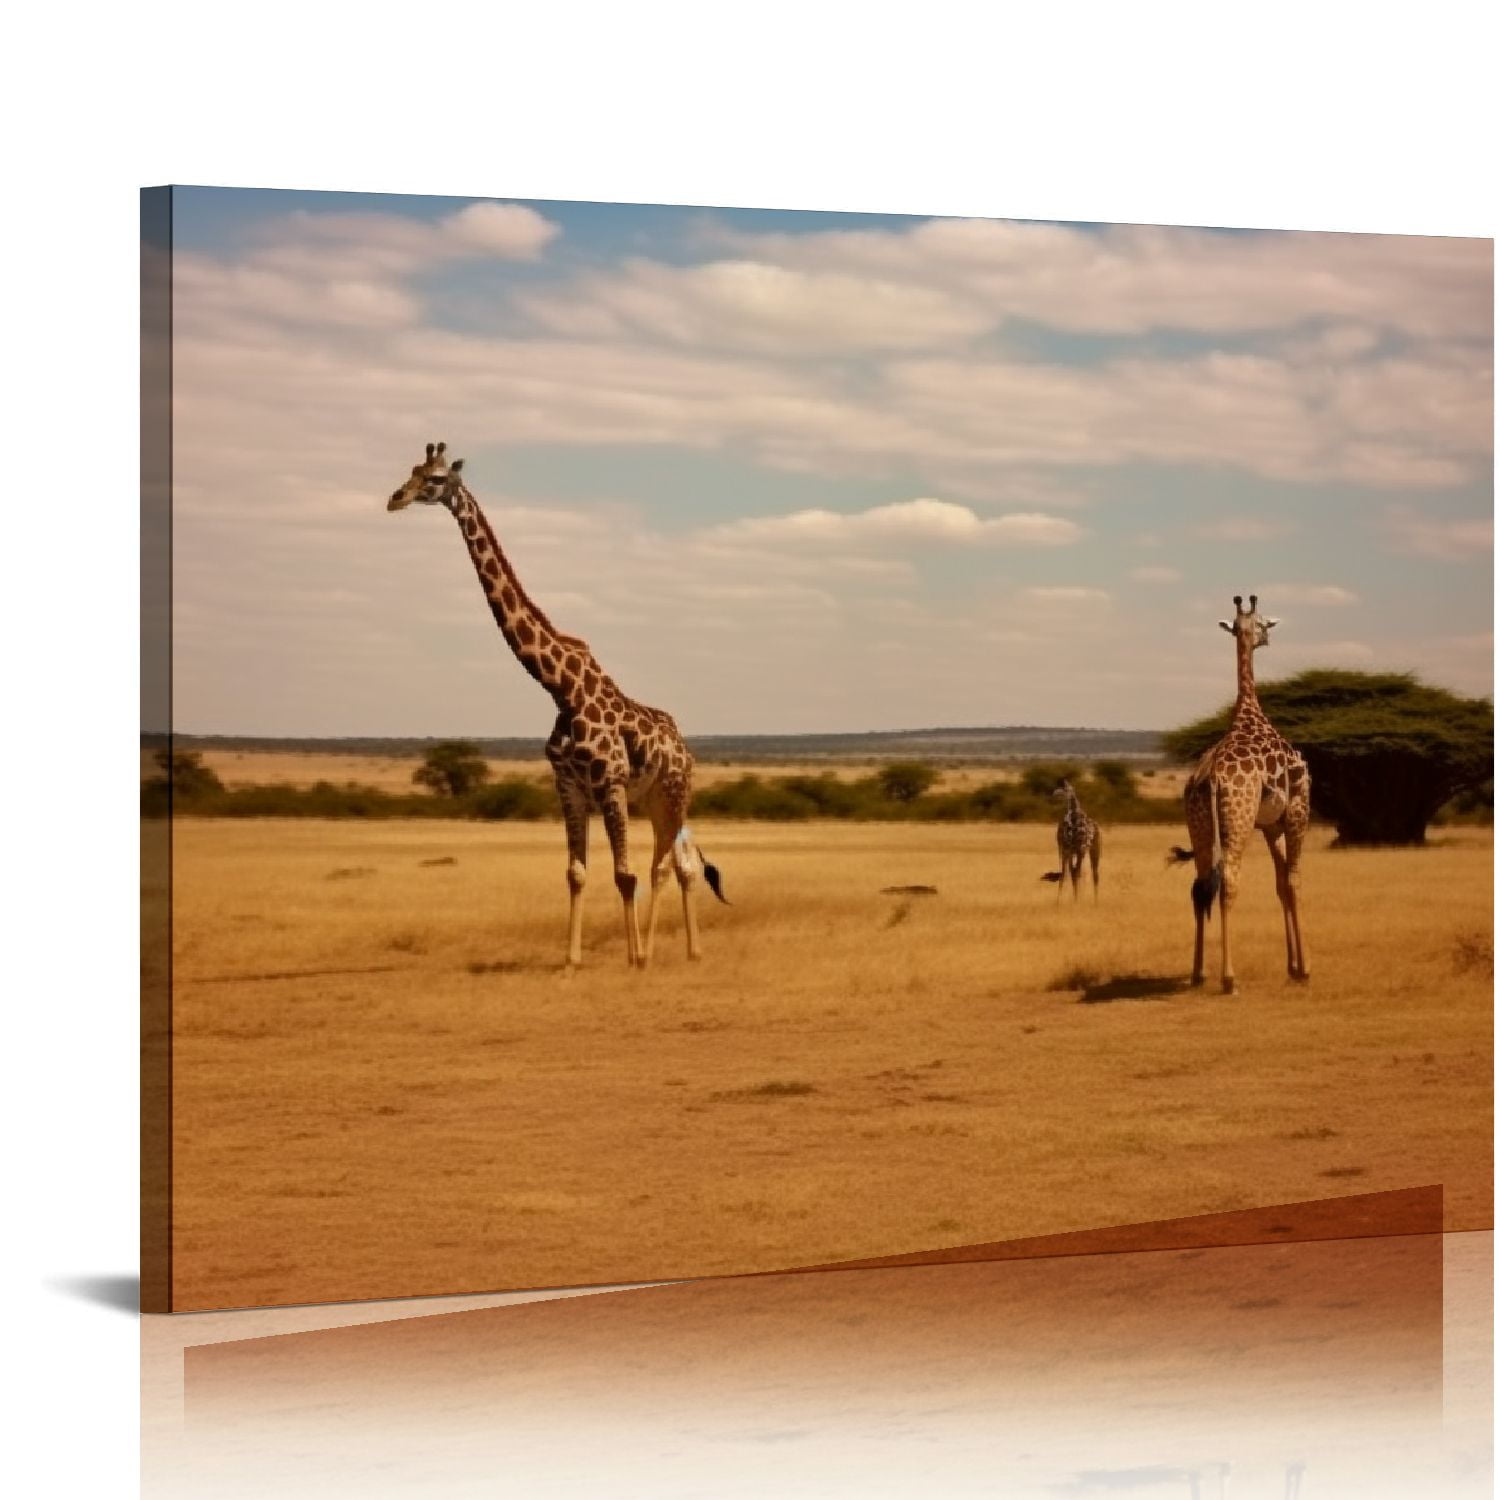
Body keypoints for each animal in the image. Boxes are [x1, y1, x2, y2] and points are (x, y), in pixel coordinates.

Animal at [387, 442, 727, 969]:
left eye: (437, 478)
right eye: (413, 470)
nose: (395, 499)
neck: (560, 688)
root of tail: (686, 749)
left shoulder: (608, 783)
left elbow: (624, 874)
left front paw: (632, 957)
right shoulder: (568, 786)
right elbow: (577, 873)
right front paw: (572, 959)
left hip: (673, 793)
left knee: (664, 867)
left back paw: (654, 952)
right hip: (651, 799)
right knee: (681, 863)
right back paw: (687, 950)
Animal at [1171, 595, 1311, 994]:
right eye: (1263, 623)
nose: (1267, 638)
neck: (1249, 710)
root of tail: (1213, 777)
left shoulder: (1269, 824)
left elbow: (1281, 884)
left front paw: (1292, 966)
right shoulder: (1297, 810)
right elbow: (1293, 880)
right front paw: (1304, 969)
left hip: (1200, 822)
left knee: (1200, 885)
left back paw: (1199, 973)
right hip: (1238, 818)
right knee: (1228, 883)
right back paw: (1229, 977)